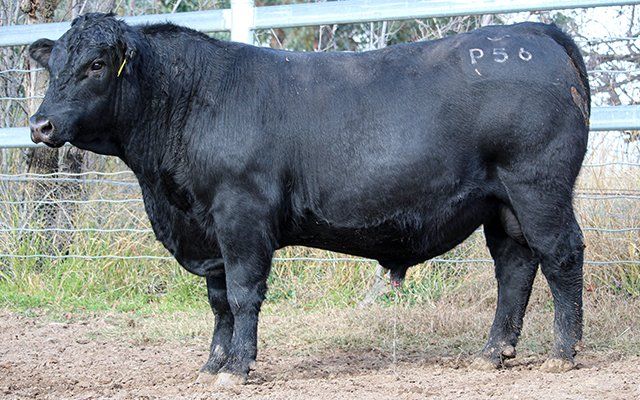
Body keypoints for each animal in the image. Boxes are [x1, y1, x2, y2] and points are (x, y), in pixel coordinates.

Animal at [28, 13, 590, 385]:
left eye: (96, 64)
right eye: (54, 63)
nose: (40, 124)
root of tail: (531, 30)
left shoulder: (241, 214)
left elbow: (243, 294)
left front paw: (237, 367)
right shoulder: (207, 228)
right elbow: (218, 301)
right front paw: (211, 363)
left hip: (538, 187)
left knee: (561, 255)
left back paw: (563, 352)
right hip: (502, 204)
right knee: (514, 266)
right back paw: (493, 352)